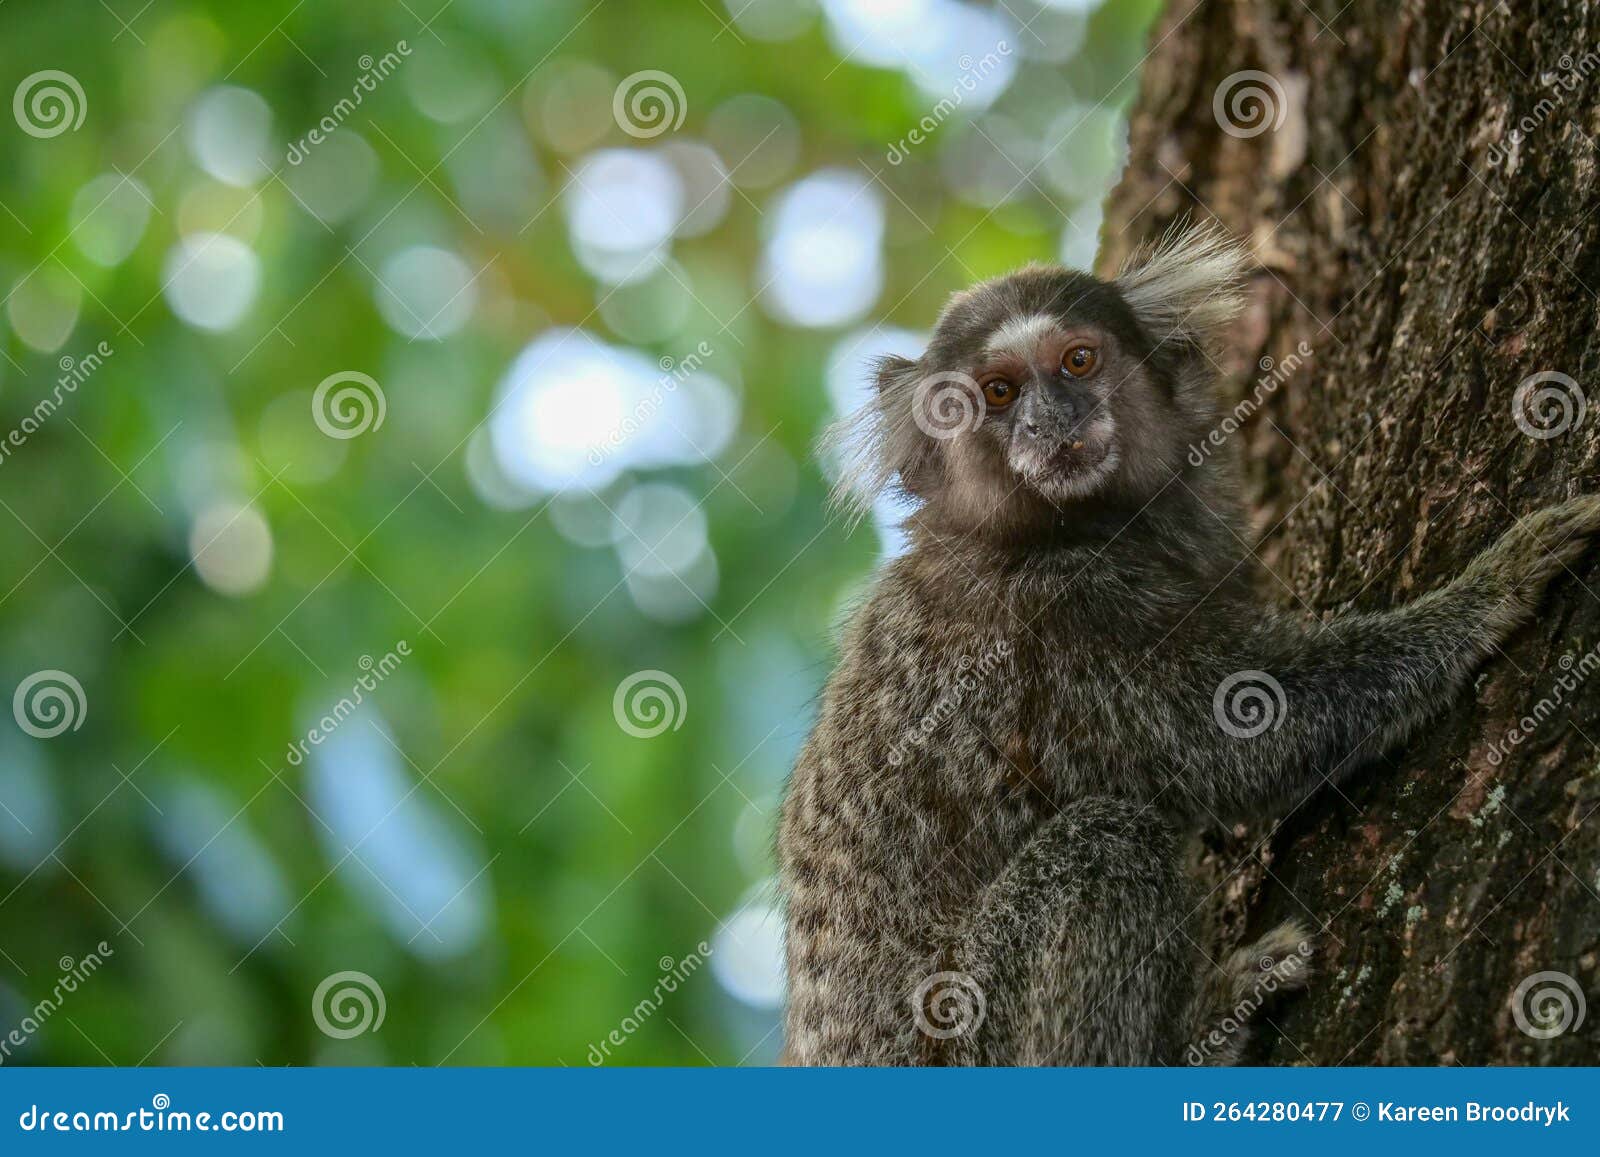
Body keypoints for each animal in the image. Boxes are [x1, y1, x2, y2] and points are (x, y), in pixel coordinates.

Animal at [777, 225, 1600, 1066]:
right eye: (999, 393)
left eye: (1078, 360)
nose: (1049, 419)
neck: (1051, 534)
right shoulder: (1062, 626)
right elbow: (1250, 734)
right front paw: (1488, 591)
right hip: (970, 1032)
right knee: (1107, 843)